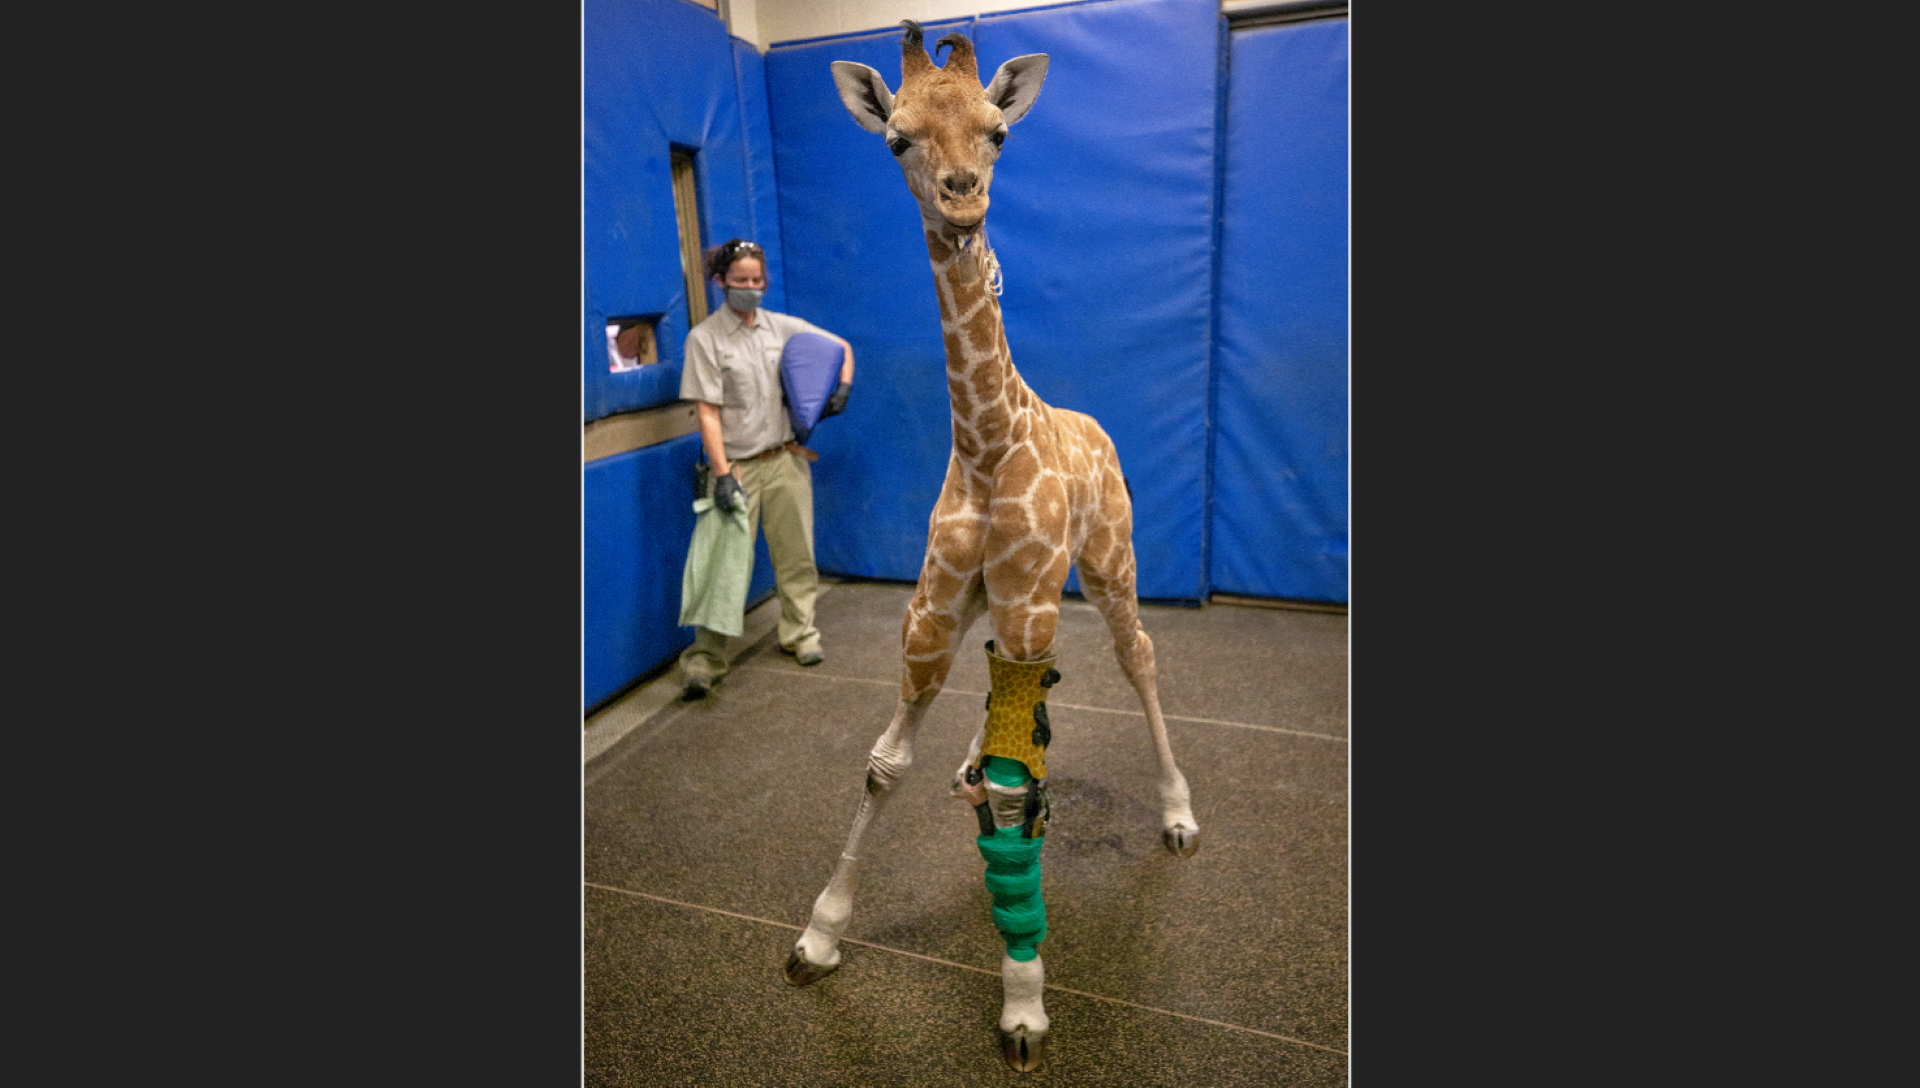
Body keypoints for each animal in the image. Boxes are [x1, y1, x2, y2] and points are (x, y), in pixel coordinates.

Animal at [783, 22, 1199, 1072]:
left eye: (998, 132)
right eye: (896, 138)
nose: (964, 194)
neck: (985, 442)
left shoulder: (1025, 597)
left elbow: (1020, 796)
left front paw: (1023, 1006)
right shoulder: (933, 610)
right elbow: (884, 766)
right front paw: (818, 936)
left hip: (1107, 566)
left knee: (1140, 659)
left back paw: (1179, 815)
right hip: (1007, 603)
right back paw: (969, 769)